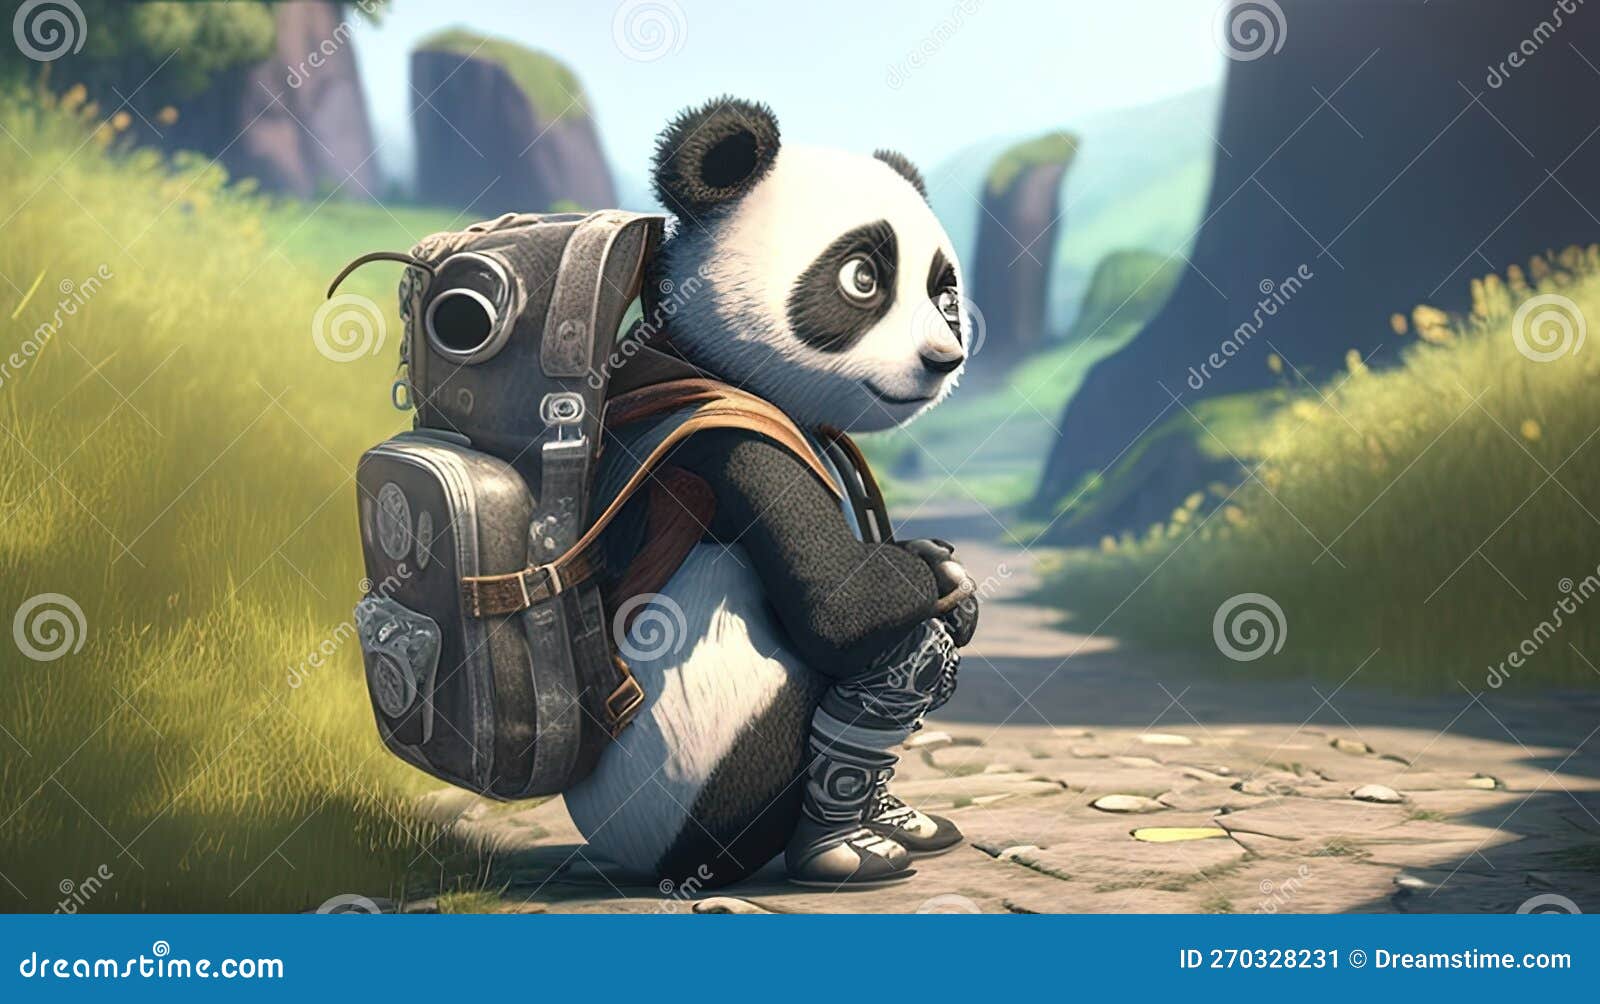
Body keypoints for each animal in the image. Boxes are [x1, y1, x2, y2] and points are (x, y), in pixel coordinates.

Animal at [563, 97, 975, 888]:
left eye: (945, 293)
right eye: (861, 278)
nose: (945, 358)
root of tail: (627, 853)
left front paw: (944, 569)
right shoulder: (736, 440)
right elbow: (840, 608)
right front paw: (941, 575)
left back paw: (895, 821)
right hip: (704, 772)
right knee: (893, 653)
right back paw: (839, 846)